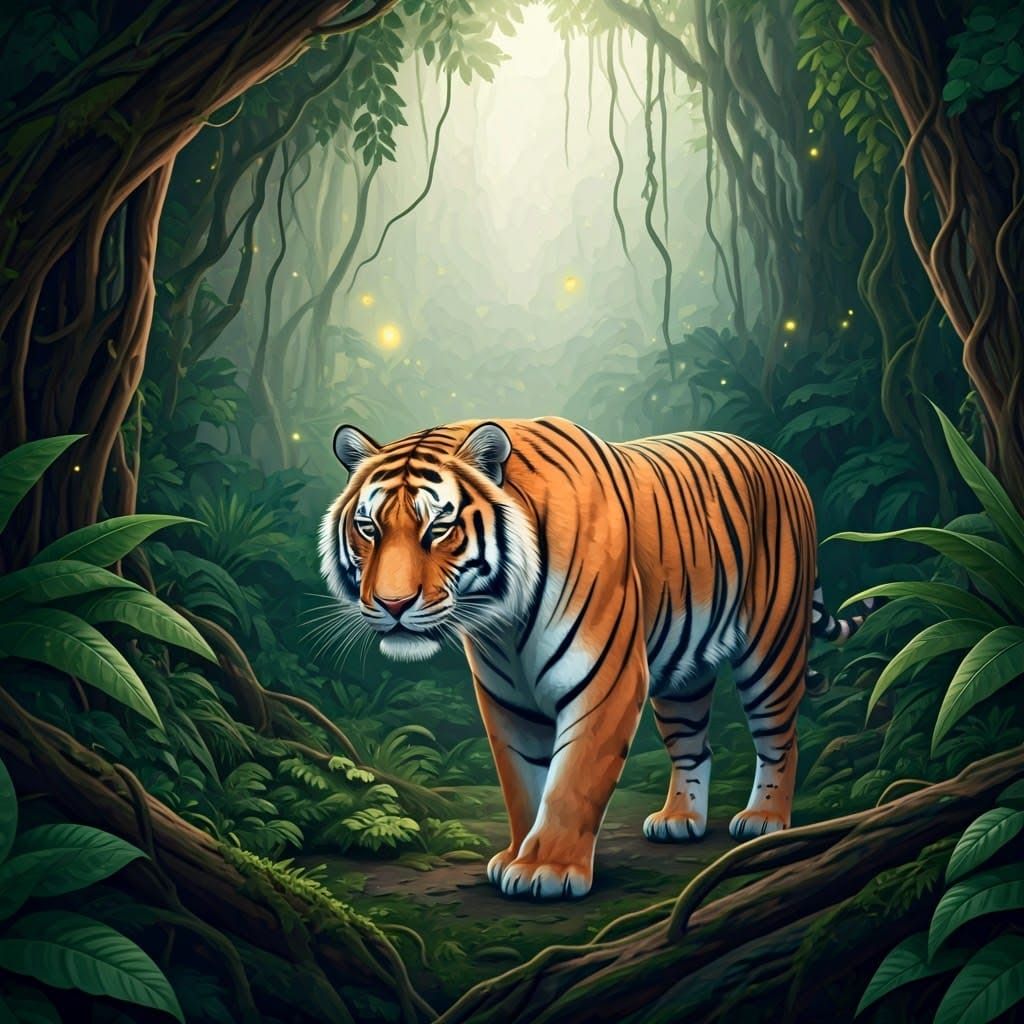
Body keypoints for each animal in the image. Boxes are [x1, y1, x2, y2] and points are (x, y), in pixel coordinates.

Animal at [319, 417, 877, 900]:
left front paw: (546, 868)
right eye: (368, 528)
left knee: (781, 741)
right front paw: (517, 854)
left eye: (438, 528)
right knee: (694, 748)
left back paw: (765, 819)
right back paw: (680, 821)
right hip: (685, 674)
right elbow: (522, 783)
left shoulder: (606, 680)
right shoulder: (506, 702)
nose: (392, 605)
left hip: (771, 650)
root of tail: (781, 462)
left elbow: (572, 782)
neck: (503, 621)